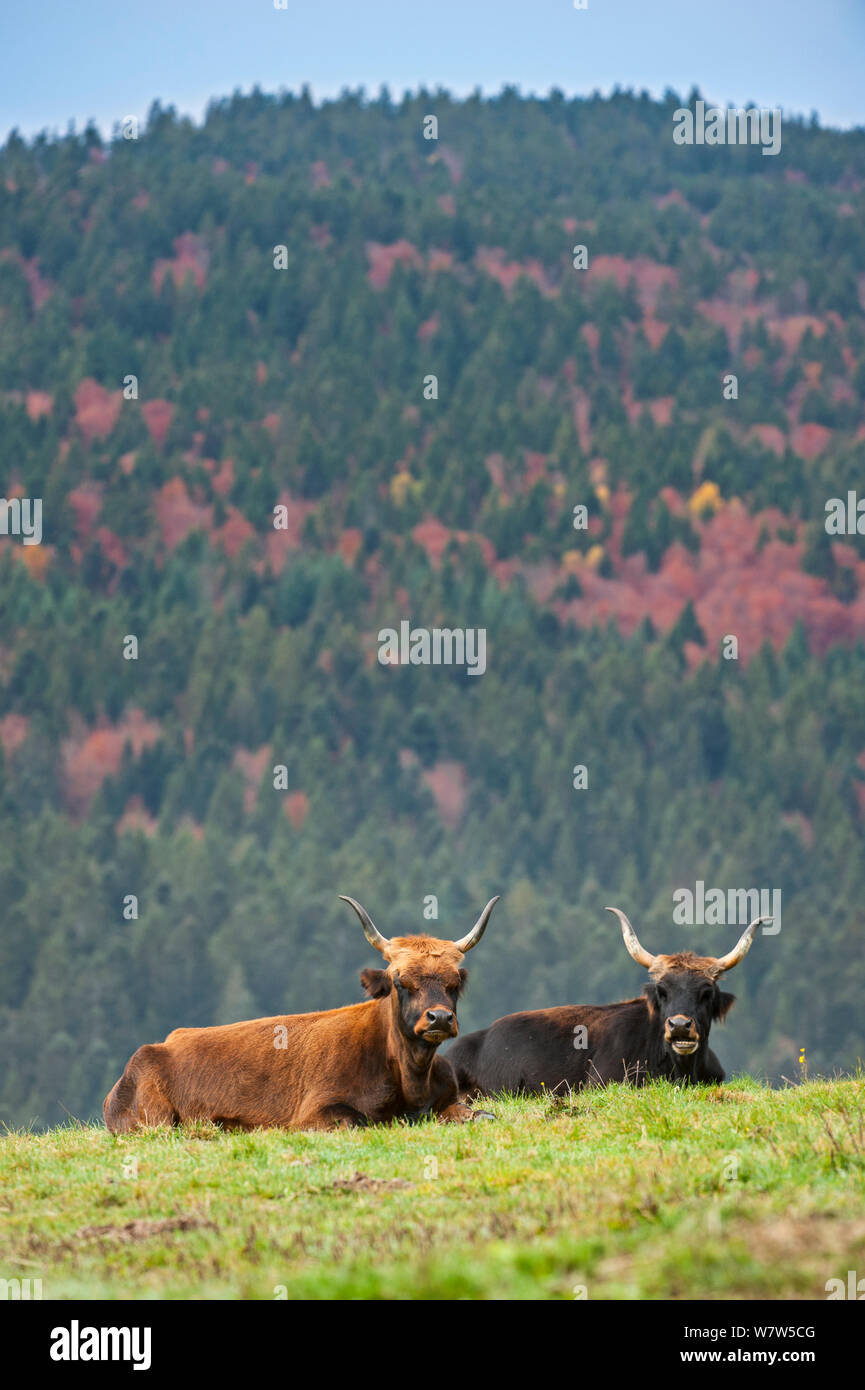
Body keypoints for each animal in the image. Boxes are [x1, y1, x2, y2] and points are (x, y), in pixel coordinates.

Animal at [103, 895, 500, 1133]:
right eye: (399, 981)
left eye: (453, 983)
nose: (439, 1018)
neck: (410, 1078)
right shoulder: (315, 1113)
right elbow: (359, 1121)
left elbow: (482, 1115)